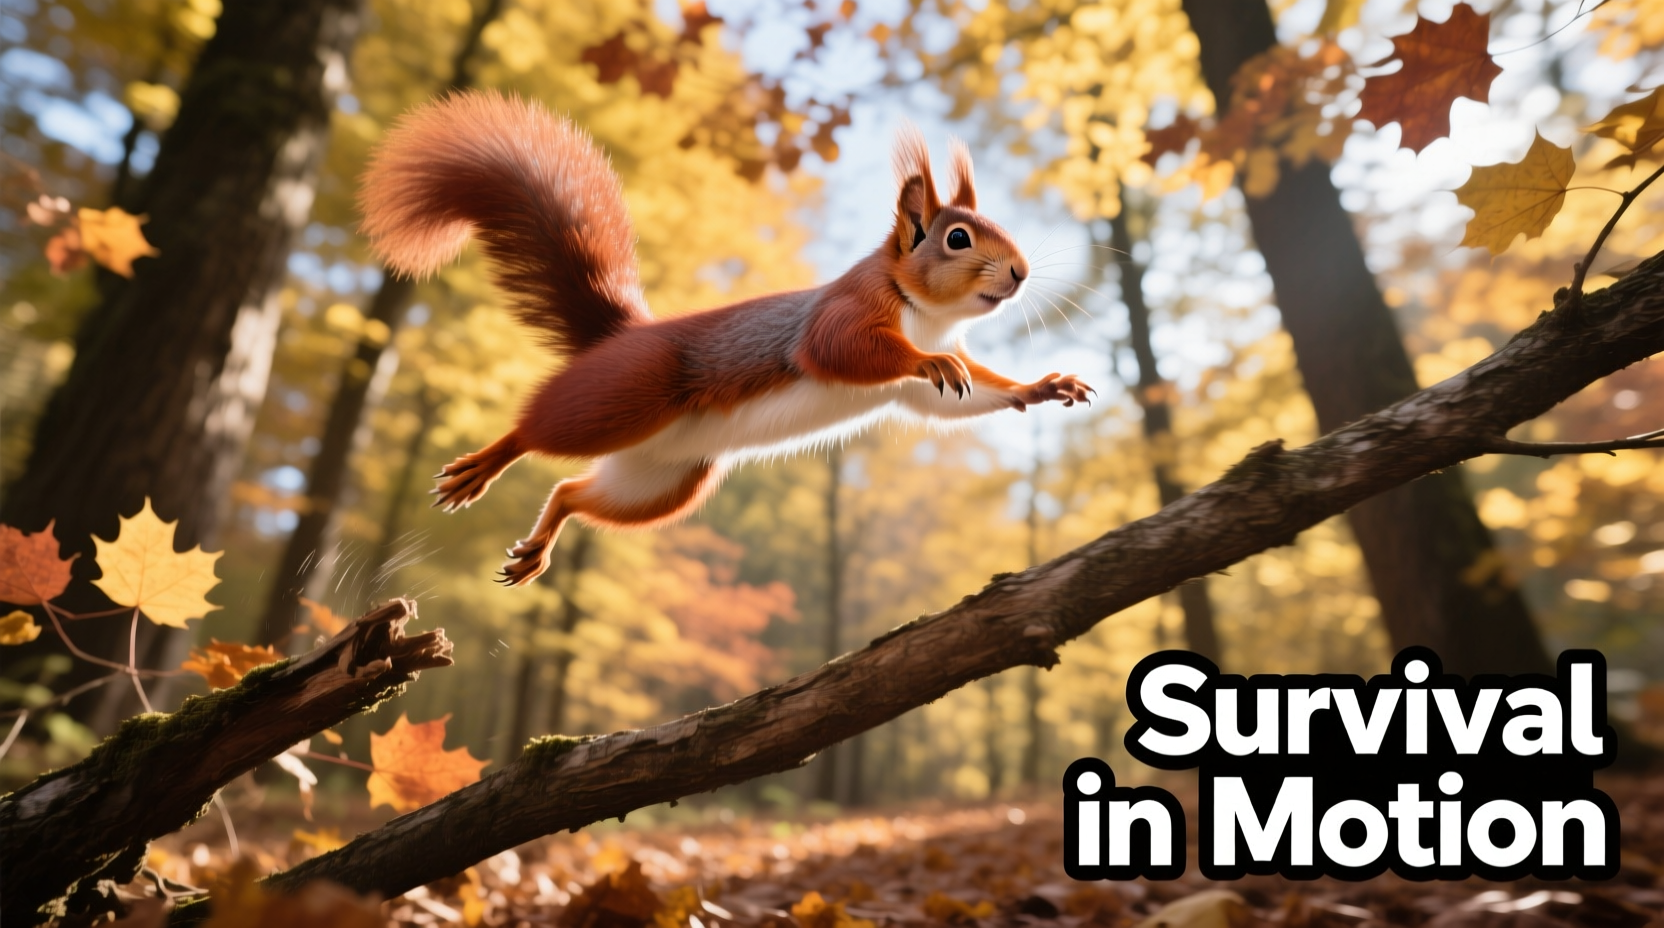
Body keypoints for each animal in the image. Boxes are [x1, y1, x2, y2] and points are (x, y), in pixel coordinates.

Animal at [360, 90, 1093, 586]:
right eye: (957, 238)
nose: (1021, 272)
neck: (926, 313)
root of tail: (620, 337)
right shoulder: (847, 310)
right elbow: (842, 351)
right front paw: (929, 358)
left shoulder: (928, 385)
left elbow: (969, 395)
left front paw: (1043, 385)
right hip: (621, 397)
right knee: (537, 431)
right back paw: (482, 466)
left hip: (665, 479)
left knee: (571, 490)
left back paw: (539, 544)